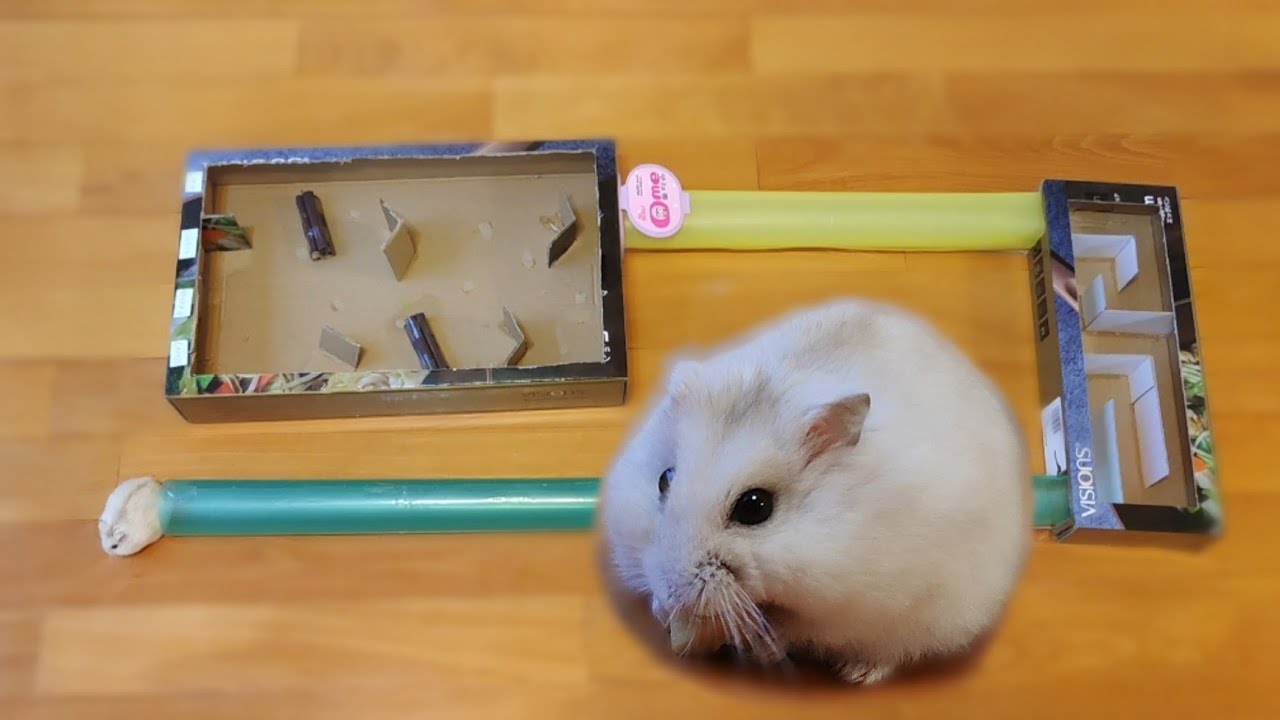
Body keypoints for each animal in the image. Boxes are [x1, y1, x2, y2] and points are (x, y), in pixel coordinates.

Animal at [599, 297, 1032, 685]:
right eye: (664, 479)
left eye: (755, 506)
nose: (671, 597)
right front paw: (662, 613)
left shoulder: (851, 606)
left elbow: (799, 626)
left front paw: (764, 645)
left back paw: (860, 675)